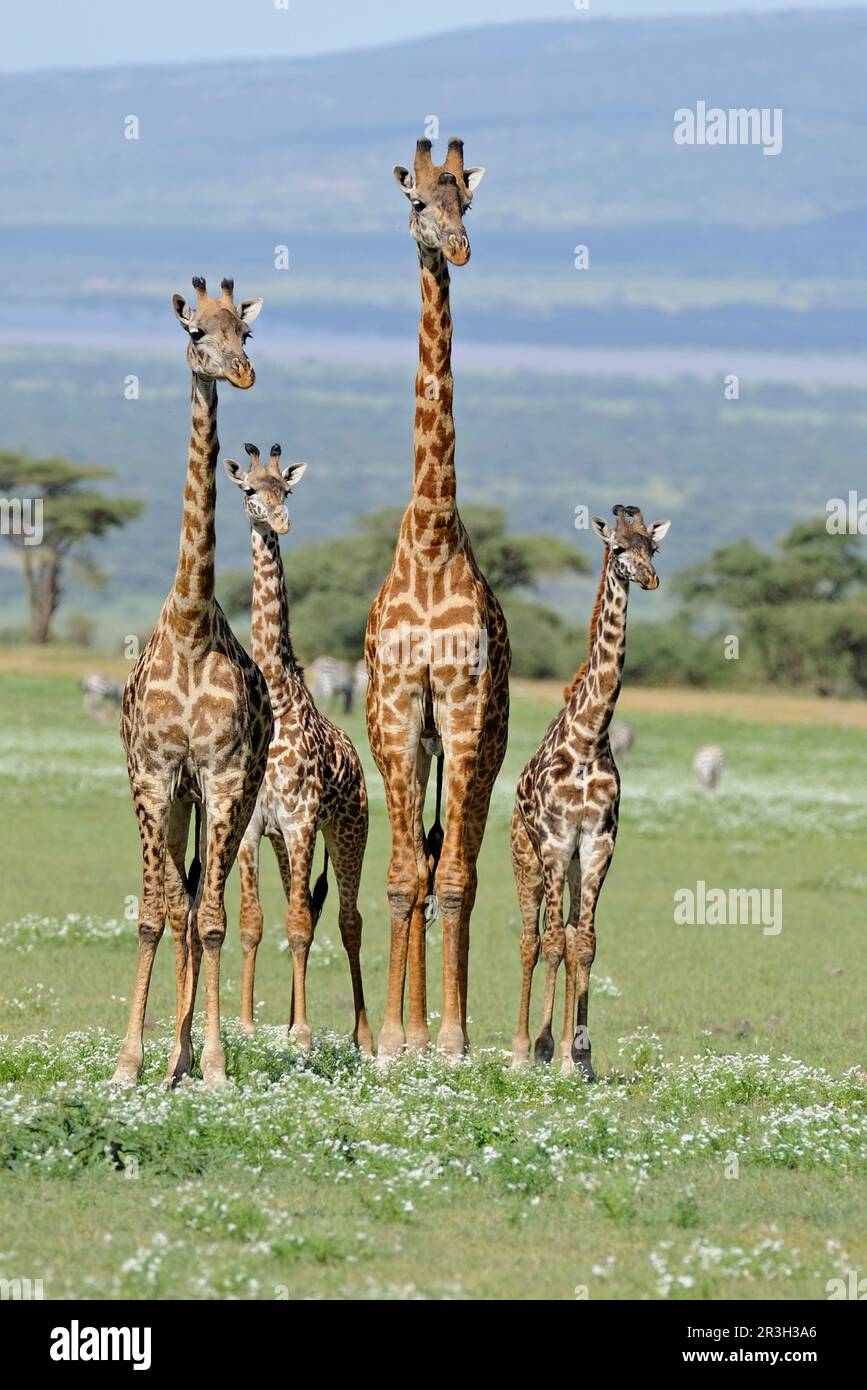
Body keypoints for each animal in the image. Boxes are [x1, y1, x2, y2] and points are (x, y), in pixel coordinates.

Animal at [510, 506, 670, 1079]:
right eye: (618, 549)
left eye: (653, 547)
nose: (649, 578)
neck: (589, 738)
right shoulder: (557, 843)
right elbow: (556, 942)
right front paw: (547, 1051)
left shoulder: (598, 844)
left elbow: (586, 945)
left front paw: (579, 1055)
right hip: (528, 860)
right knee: (531, 939)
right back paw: (520, 1048)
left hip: (576, 866)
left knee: (569, 932)